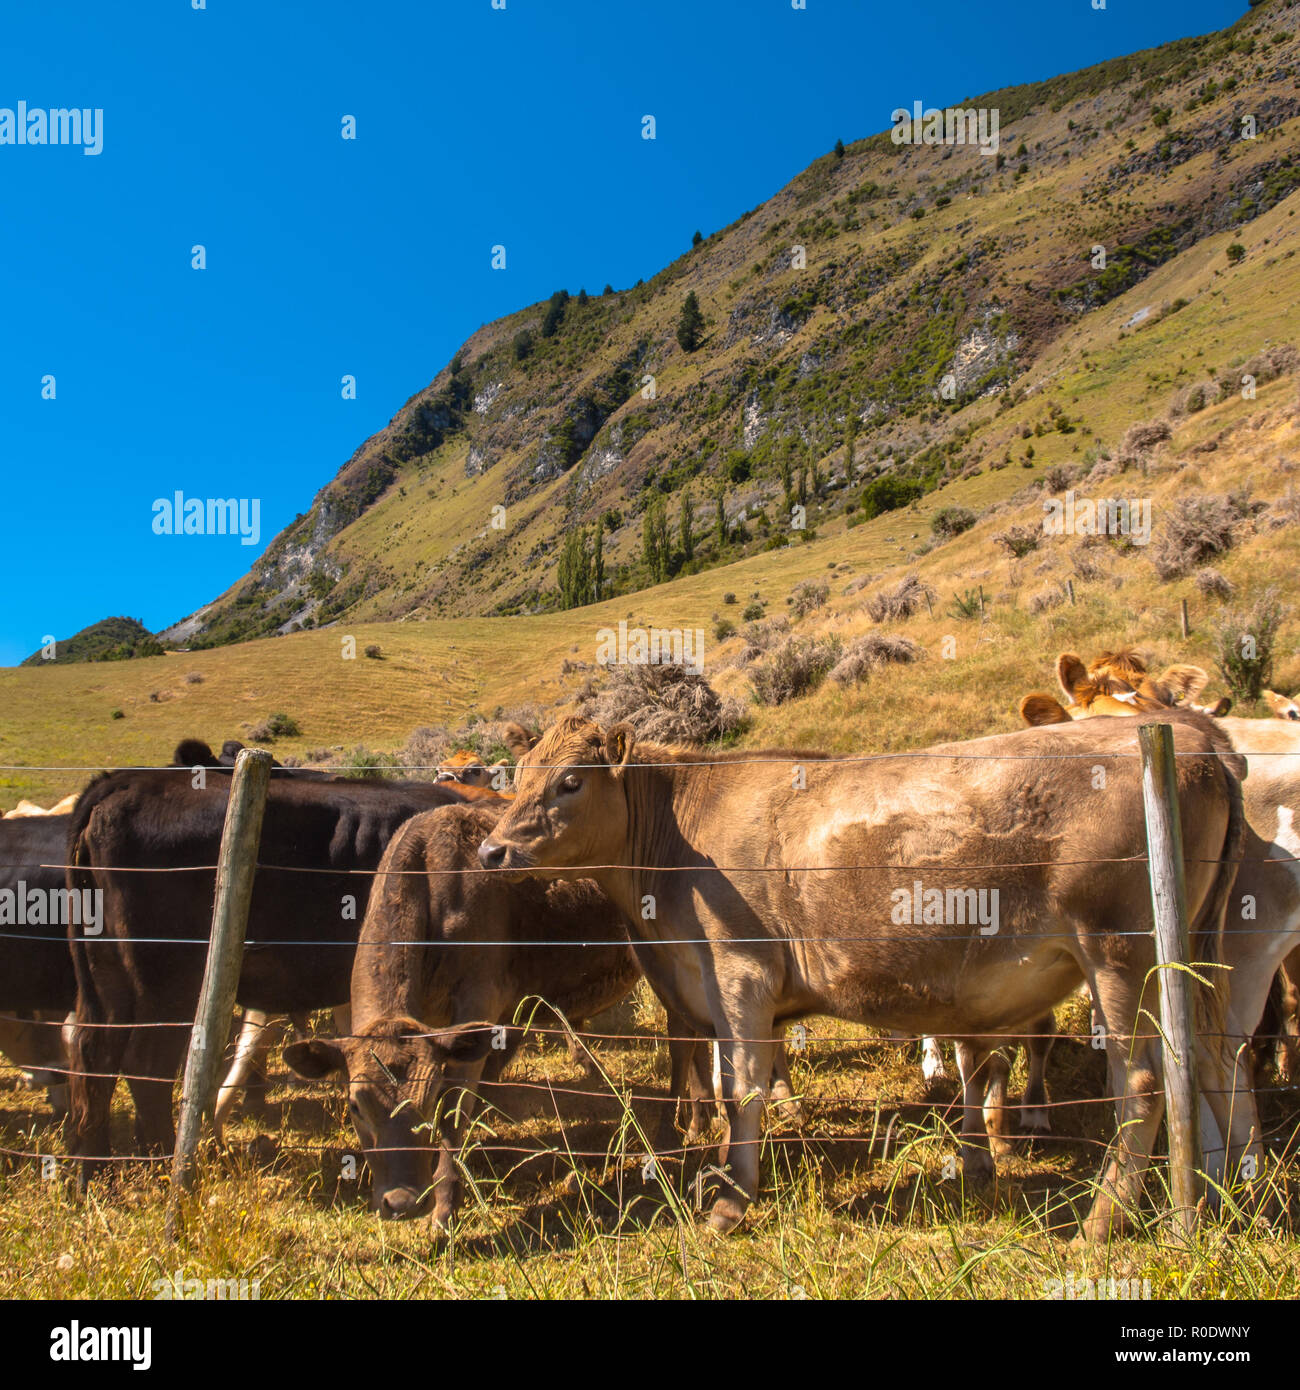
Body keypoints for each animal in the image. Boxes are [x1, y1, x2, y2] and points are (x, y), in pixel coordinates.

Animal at [65, 767, 468, 1178]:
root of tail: (123, 782)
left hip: (108, 975)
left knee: (91, 1053)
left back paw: (90, 1170)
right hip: (168, 983)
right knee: (145, 1065)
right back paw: (159, 1160)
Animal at [477, 712, 1249, 1238]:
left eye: (570, 781)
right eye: (518, 776)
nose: (491, 851)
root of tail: (1195, 735)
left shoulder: (739, 971)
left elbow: (742, 1088)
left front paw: (731, 1201)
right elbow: (725, 1088)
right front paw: (716, 1174)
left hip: (1119, 951)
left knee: (1145, 1080)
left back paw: (1103, 1221)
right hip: (1195, 957)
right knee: (1217, 1064)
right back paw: (1229, 1198)